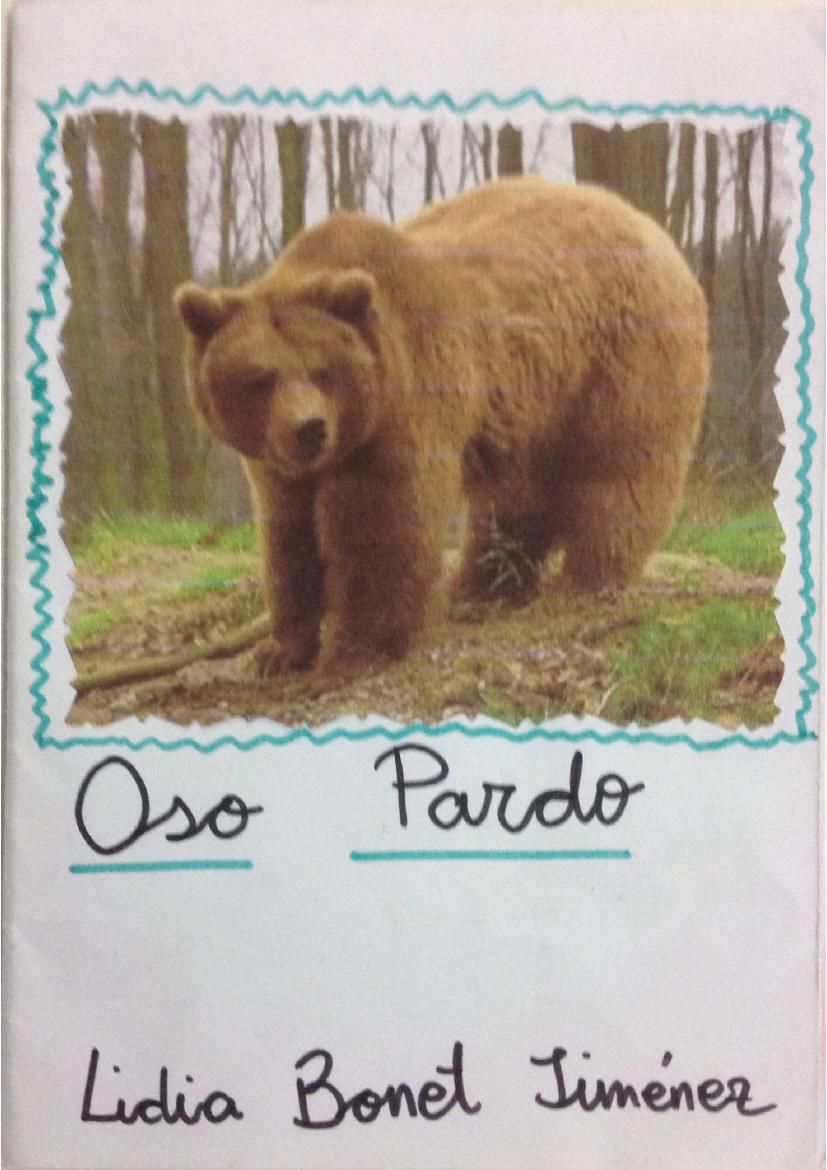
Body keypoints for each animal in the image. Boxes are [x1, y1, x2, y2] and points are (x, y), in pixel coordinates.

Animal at [175, 175, 709, 681]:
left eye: (323, 371)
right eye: (260, 378)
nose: (309, 429)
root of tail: (657, 233)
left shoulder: (400, 405)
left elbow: (381, 527)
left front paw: (353, 654)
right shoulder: (277, 462)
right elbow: (288, 536)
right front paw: (280, 651)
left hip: (621, 356)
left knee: (618, 472)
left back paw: (586, 579)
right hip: (534, 403)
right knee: (518, 495)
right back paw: (482, 586)